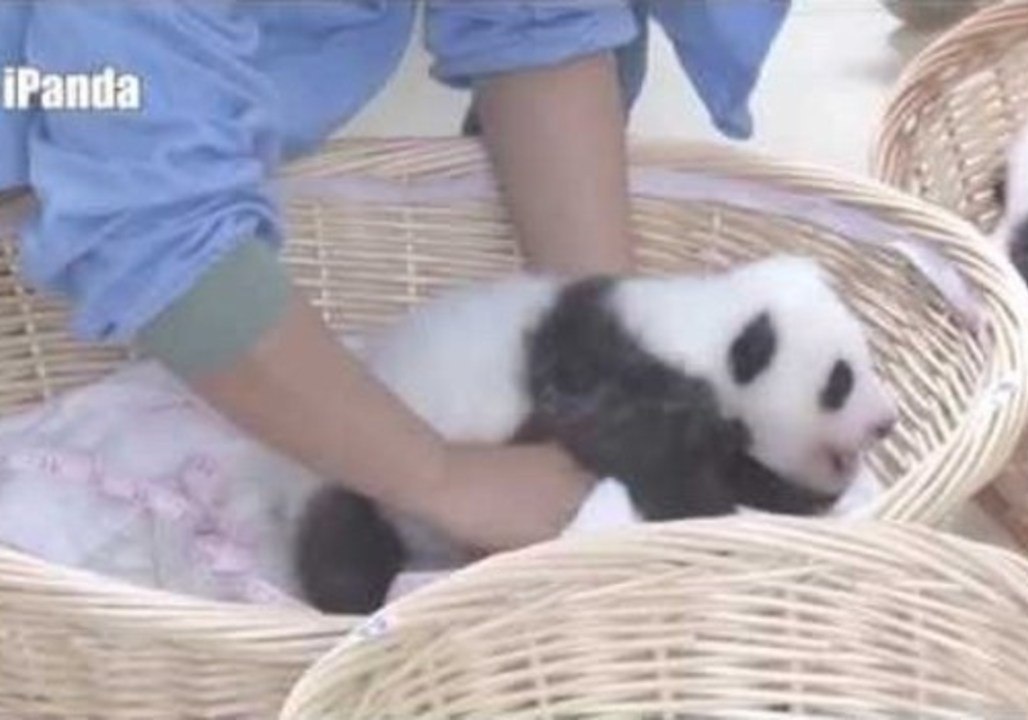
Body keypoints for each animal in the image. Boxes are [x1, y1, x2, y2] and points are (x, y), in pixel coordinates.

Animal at [296, 255, 899, 614]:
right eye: (840, 381)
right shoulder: (606, 386)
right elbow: (652, 461)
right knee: (344, 548)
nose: (885, 422)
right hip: (365, 476)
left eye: (865, 360)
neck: (697, 331)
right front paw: (713, 511)